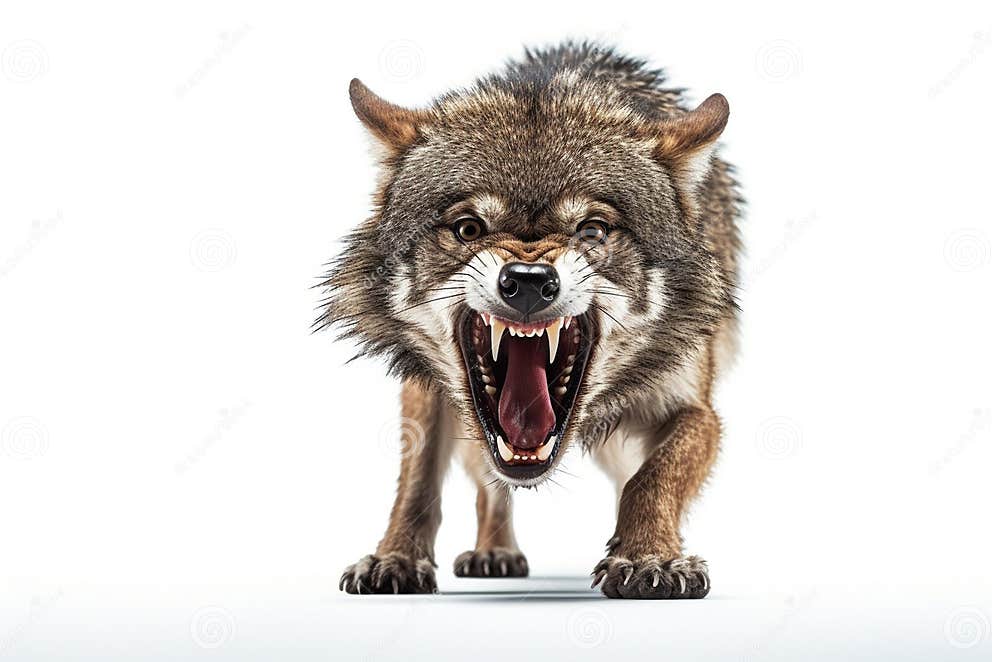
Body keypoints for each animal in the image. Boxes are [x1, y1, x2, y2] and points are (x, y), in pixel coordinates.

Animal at [318, 43, 741, 599]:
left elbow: (653, 477)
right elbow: (416, 482)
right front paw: (395, 558)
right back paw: (494, 551)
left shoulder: (695, 406)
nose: (528, 281)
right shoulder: (425, 391)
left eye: (592, 230)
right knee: (488, 487)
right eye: (468, 228)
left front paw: (649, 556)